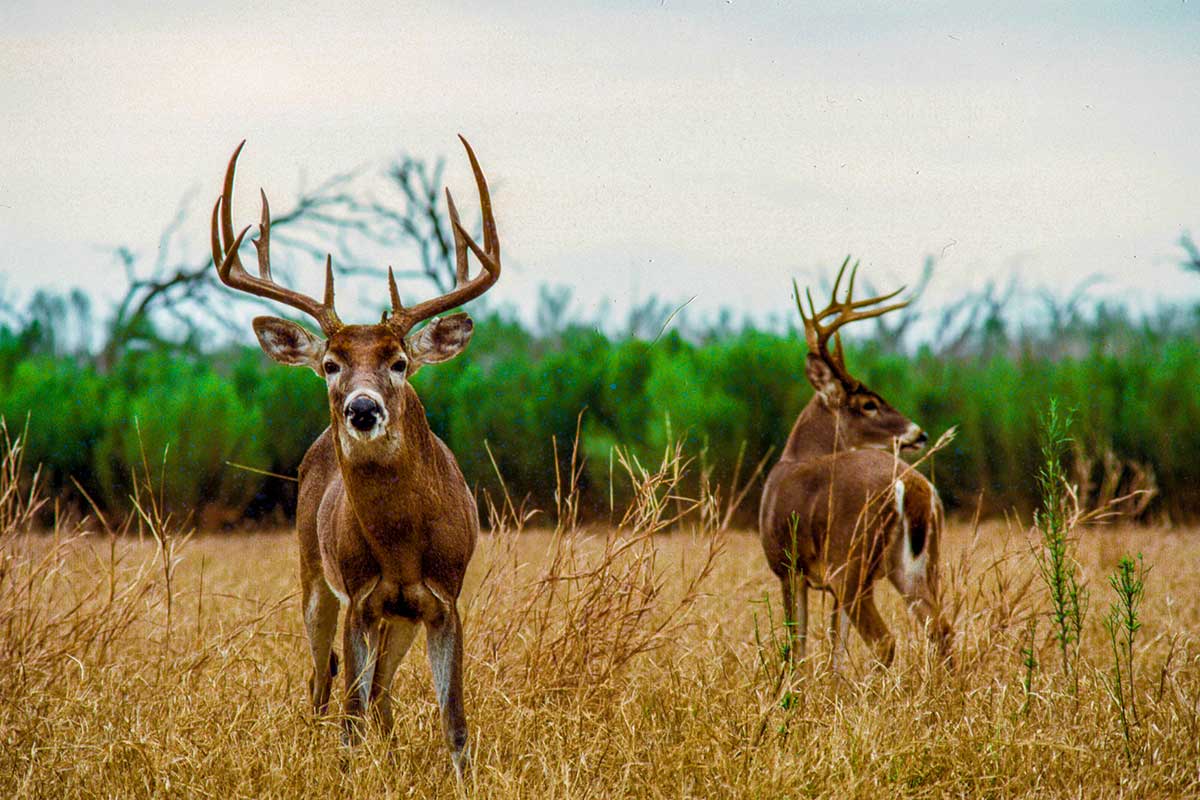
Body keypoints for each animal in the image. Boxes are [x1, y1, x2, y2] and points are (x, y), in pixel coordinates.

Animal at [209, 135, 501, 777]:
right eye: (329, 364)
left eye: (399, 361)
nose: (362, 408)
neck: (402, 547)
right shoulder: (359, 600)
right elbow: (350, 717)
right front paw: (346, 770)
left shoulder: (444, 600)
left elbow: (456, 723)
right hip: (313, 577)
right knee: (323, 684)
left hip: (399, 619)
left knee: (384, 693)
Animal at [759, 261, 952, 670]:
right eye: (869, 404)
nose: (919, 433)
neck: (794, 457)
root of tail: (912, 487)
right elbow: (836, 648)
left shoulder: (789, 567)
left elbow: (798, 648)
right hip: (918, 566)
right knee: (941, 630)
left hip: (849, 561)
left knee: (884, 641)